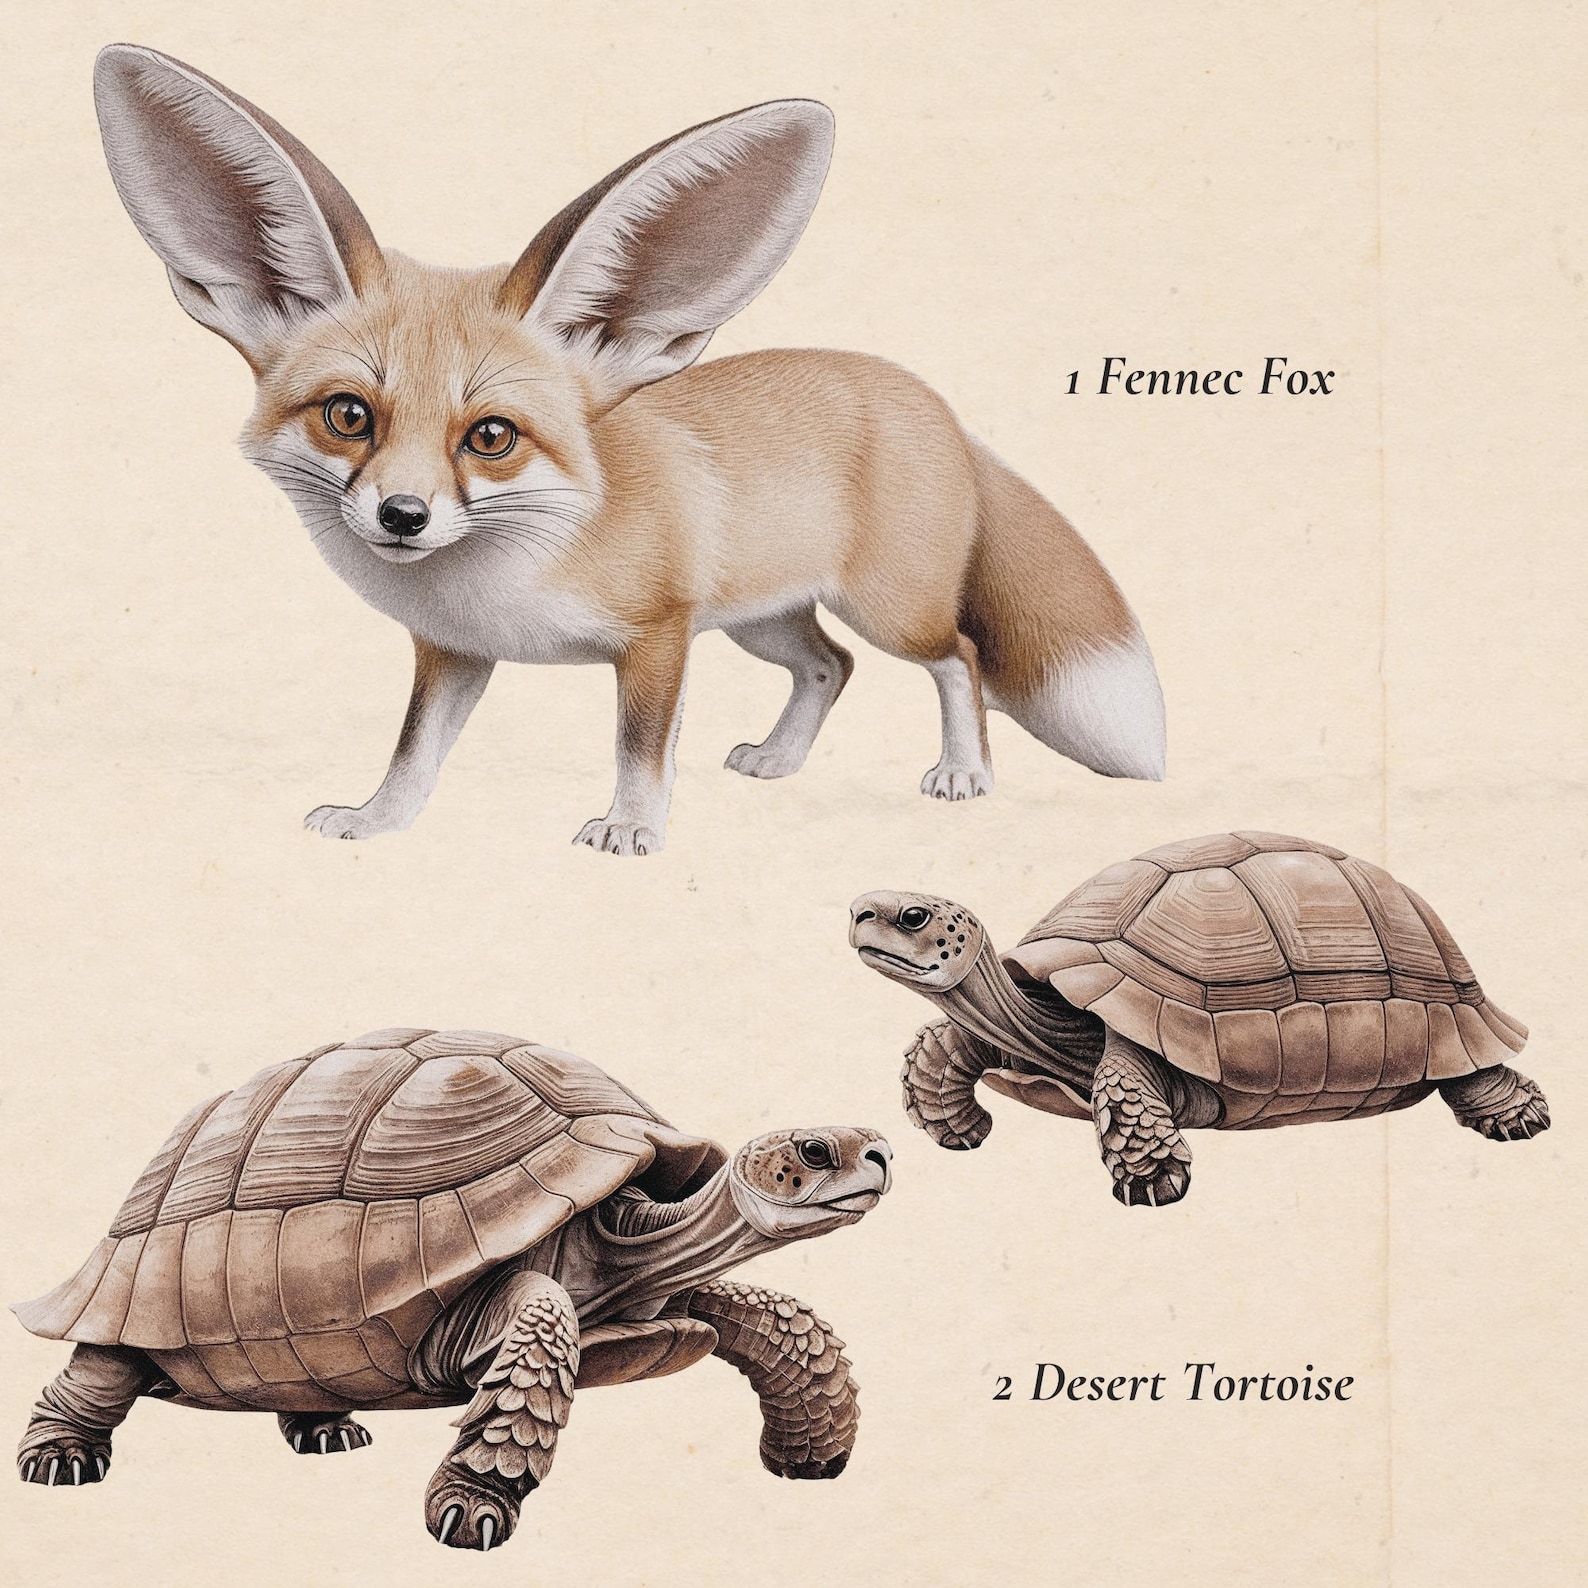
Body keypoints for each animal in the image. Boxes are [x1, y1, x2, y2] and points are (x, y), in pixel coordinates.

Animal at [92, 44, 1166, 856]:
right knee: (830, 667)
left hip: (886, 609)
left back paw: (961, 771)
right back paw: (779, 760)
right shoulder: (455, 653)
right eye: (350, 417)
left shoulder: (657, 637)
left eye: (490, 437)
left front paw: (630, 833)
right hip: (762, 620)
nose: (402, 515)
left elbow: (640, 752)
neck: (498, 581)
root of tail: (926, 397)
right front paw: (376, 821)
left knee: (960, 657)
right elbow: (413, 755)